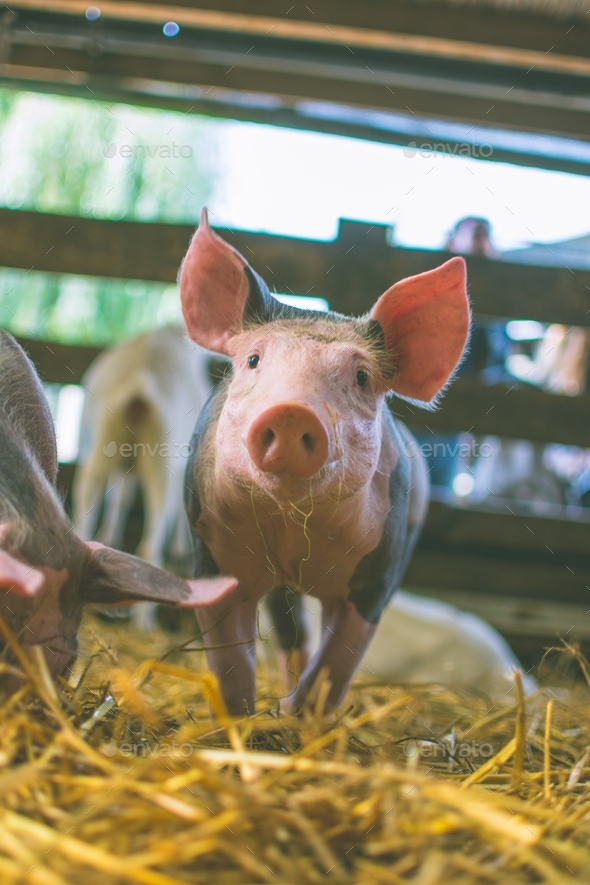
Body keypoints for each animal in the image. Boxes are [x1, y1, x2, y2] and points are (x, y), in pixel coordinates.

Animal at [0, 329, 237, 691]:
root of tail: (141, 383)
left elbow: (120, 500)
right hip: (162, 456)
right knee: (153, 537)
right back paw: (145, 624)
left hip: (98, 444)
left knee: (87, 513)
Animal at [179, 210, 470, 717]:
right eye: (253, 359)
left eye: (362, 377)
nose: (291, 411)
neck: (293, 527)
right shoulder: (211, 551)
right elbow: (231, 663)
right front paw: (244, 718)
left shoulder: (377, 574)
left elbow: (336, 666)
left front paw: (299, 716)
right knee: (290, 631)